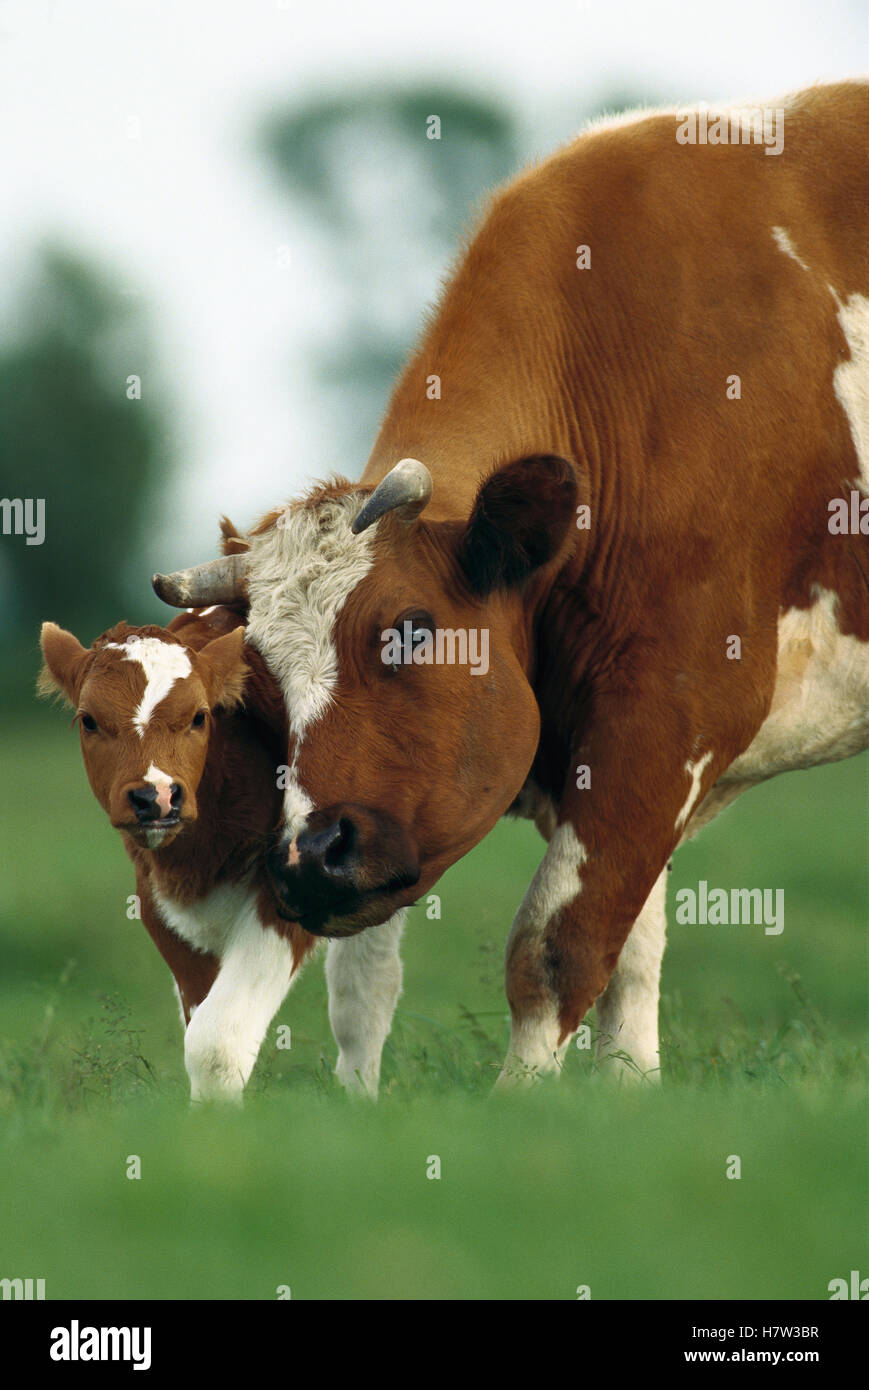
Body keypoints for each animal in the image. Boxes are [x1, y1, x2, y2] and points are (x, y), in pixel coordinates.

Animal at [38, 607, 405, 1100]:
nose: (156, 797)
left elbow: (216, 1042)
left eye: (199, 717)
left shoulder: (297, 884)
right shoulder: (159, 903)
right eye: (89, 720)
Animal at [153, 80, 869, 1093]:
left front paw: (524, 1105)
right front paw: (624, 1092)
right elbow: (618, 951)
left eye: (410, 630)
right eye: (259, 681)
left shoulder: (674, 706)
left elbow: (557, 946)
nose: (308, 857)